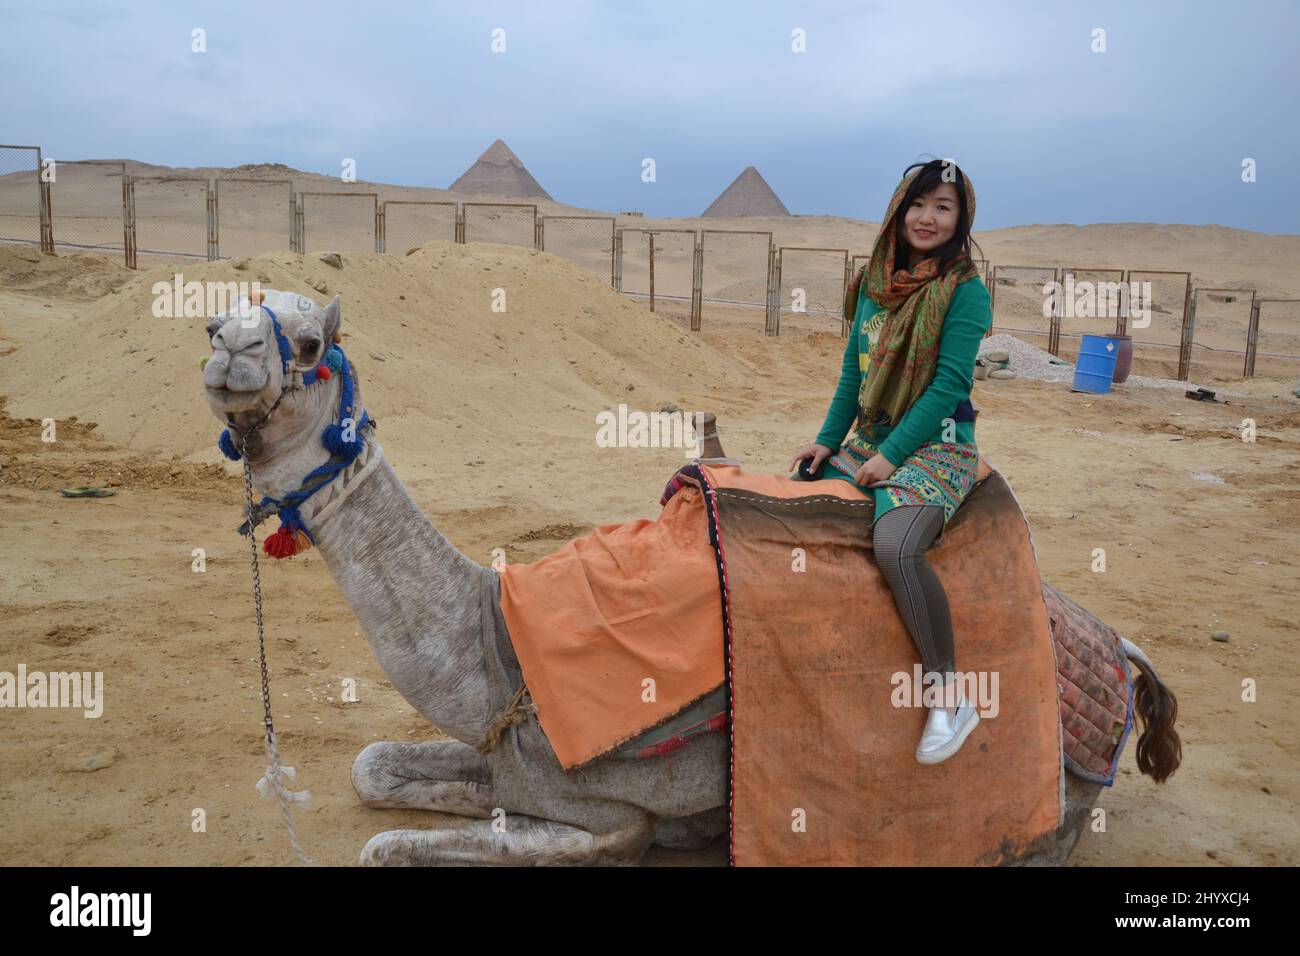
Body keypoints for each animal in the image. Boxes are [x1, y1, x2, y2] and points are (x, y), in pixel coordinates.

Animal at [202, 289, 1181, 866]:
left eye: (309, 341)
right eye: (226, 315)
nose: (224, 346)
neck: (495, 642)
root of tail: (1118, 646)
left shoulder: (611, 818)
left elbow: (389, 848)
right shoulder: (510, 756)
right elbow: (372, 765)